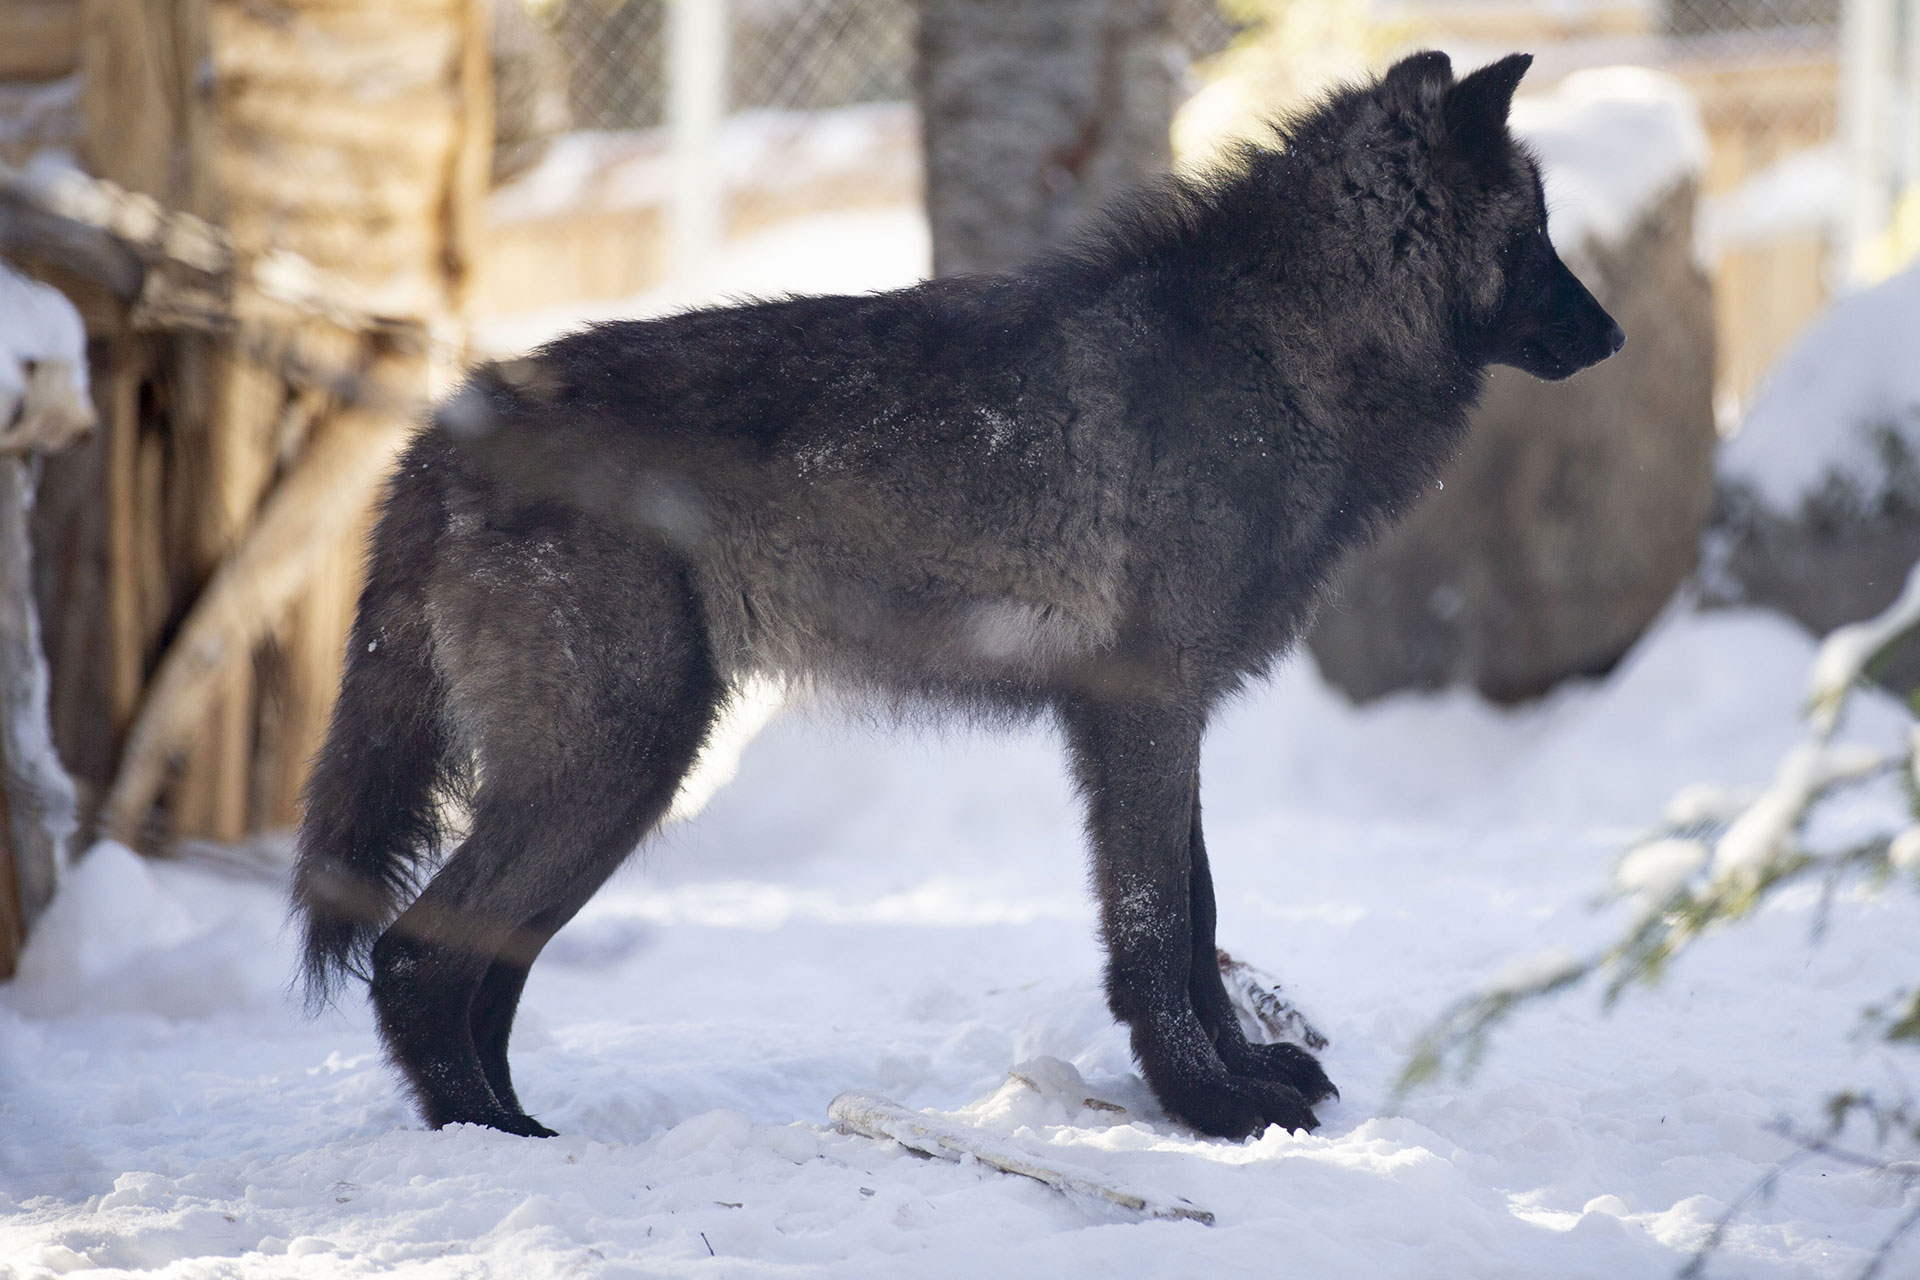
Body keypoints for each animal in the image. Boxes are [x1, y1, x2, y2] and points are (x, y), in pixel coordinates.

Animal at [292, 50, 1622, 1140]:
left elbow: (1197, 917)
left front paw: (1234, 1077)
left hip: (615, 780)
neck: (1276, 348)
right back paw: (495, 1140)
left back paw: (516, 1124)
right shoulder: (1144, 708)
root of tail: (446, 430)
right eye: (1540, 231)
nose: (1612, 337)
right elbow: (1159, 930)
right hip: (615, 765)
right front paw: (1212, 1105)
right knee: (415, 957)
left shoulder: (1159, 713)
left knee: (484, 967)